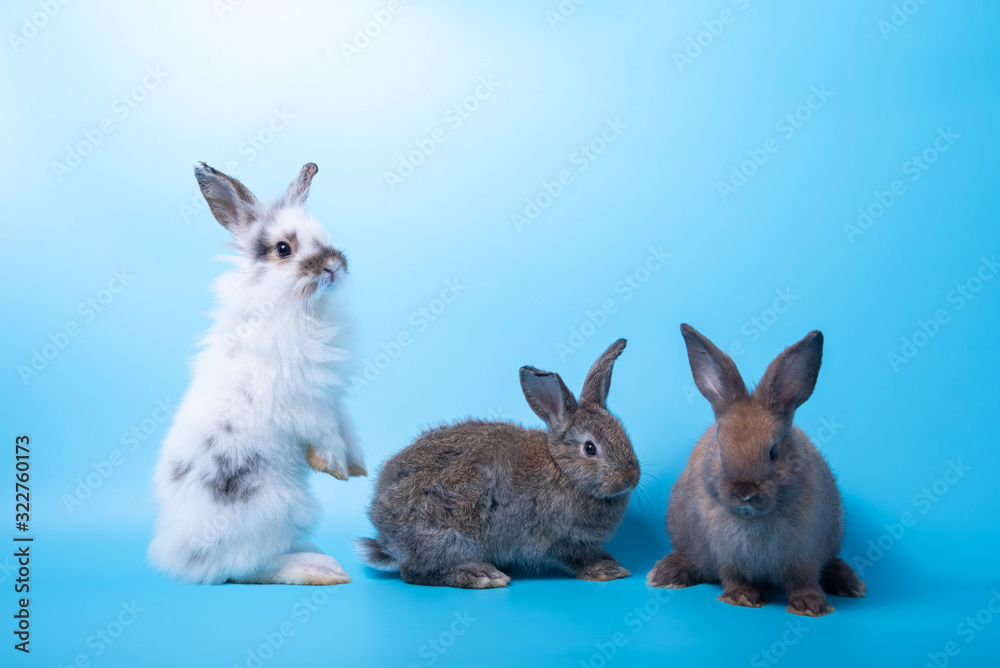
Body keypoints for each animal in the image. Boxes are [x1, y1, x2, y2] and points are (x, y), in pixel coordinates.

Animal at [148, 162, 366, 585]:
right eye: (284, 249)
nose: (333, 267)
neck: (297, 308)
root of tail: (179, 556)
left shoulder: (333, 396)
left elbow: (345, 426)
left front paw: (357, 465)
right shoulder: (302, 402)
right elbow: (324, 431)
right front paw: (333, 466)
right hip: (274, 505)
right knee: (244, 567)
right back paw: (317, 568)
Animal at [358, 339, 640, 588]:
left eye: (624, 434)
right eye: (590, 448)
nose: (631, 477)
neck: (564, 471)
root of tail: (388, 538)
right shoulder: (560, 538)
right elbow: (575, 558)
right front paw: (606, 570)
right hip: (447, 536)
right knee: (416, 573)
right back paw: (481, 575)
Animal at [646, 324, 866, 616]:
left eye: (773, 452)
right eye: (720, 448)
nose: (744, 493)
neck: (753, 520)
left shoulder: (804, 553)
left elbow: (804, 579)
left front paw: (811, 606)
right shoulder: (727, 556)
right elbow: (733, 576)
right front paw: (741, 597)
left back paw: (850, 583)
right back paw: (665, 574)